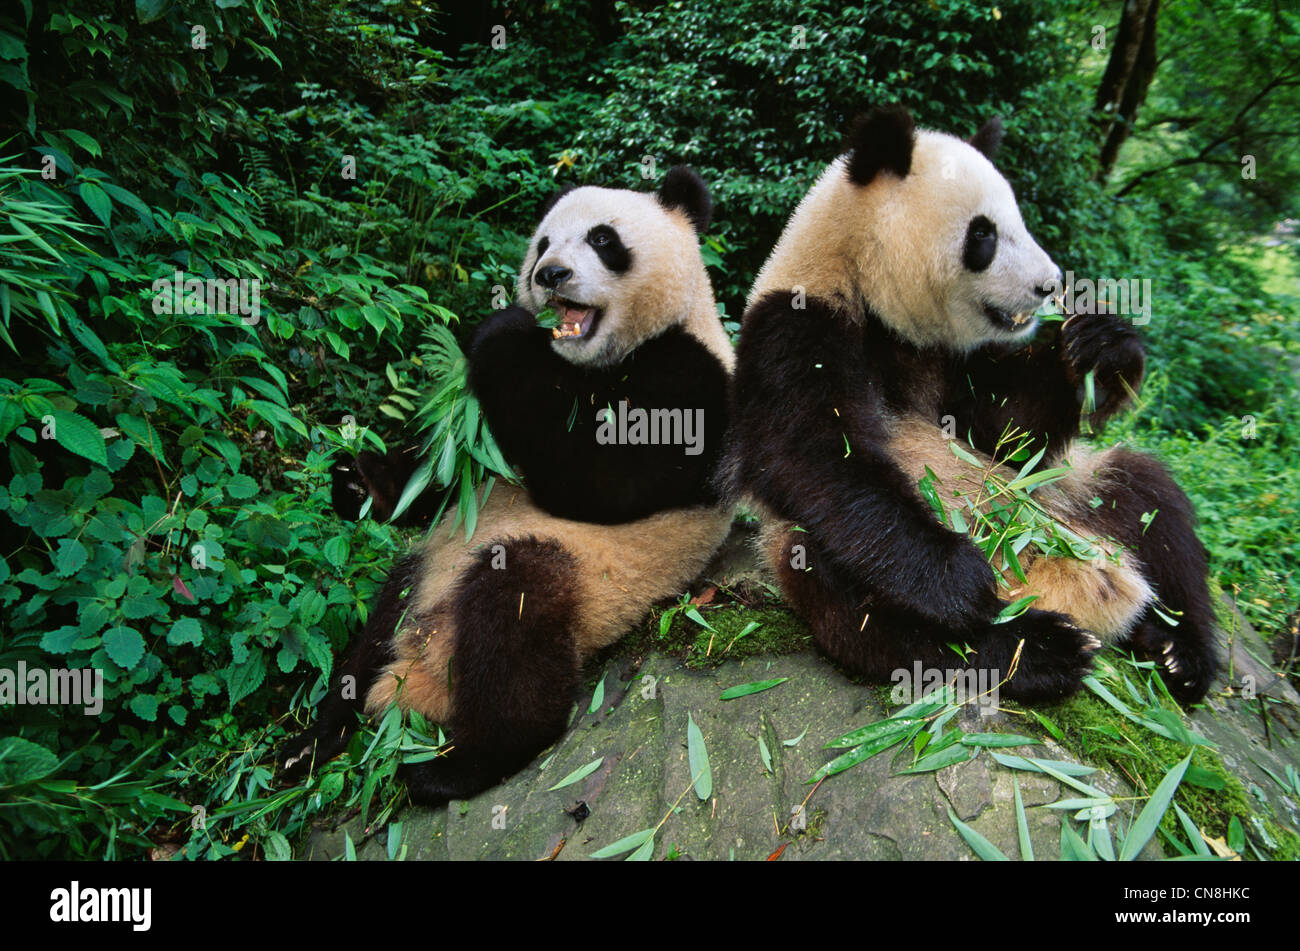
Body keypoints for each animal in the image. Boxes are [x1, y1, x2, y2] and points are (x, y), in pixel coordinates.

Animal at [282, 167, 735, 803]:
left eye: (602, 240)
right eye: (543, 244)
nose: (550, 276)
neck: (590, 361)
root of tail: (420, 675)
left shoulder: (694, 381)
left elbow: (597, 481)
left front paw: (501, 330)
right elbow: (441, 479)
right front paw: (354, 480)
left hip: (590, 582)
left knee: (515, 617)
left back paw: (453, 767)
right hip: (428, 569)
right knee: (372, 633)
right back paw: (312, 743)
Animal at [726, 105, 1217, 703]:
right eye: (983, 233)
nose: (1049, 285)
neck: (863, 277)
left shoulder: (951, 359)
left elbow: (1009, 433)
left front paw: (1102, 348)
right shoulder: (797, 326)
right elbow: (814, 454)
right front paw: (960, 576)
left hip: (1073, 490)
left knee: (1154, 504)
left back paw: (1175, 650)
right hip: (809, 547)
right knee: (854, 592)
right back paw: (1038, 648)